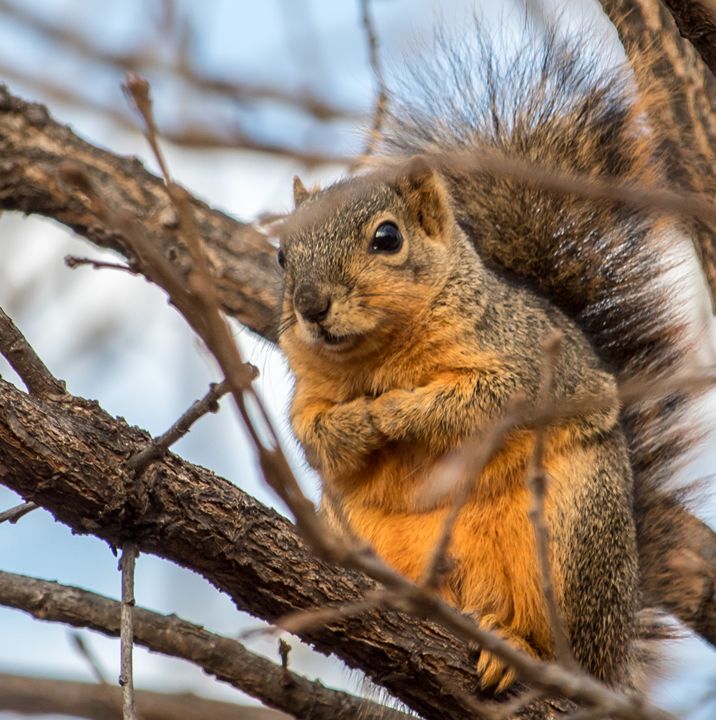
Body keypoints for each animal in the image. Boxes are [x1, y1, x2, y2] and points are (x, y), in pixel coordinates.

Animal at [275, 30, 703, 693]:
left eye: (387, 238)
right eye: (280, 255)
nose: (310, 306)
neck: (375, 357)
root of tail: (614, 660)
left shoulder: (518, 360)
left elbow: (483, 402)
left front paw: (395, 414)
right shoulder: (306, 393)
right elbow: (313, 435)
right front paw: (354, 424)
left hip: (573, 532)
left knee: (559, 644)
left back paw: (515, 647)